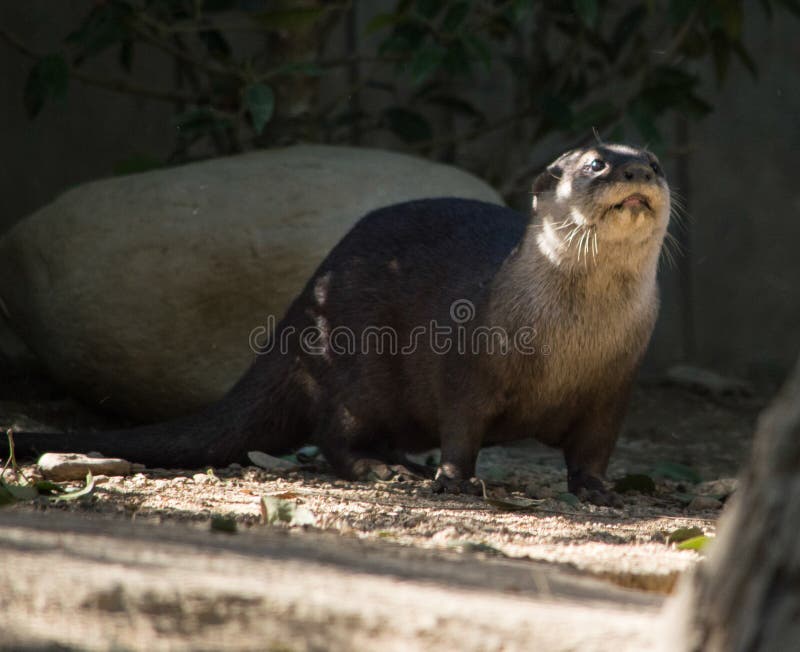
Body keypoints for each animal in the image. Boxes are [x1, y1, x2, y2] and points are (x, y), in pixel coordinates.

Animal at [4, 144, 670, 503]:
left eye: (655, 161)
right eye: (596, 163)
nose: (637, 174)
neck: (568, 340)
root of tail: (303, 310)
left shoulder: (616, 385)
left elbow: (594, 447)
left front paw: (599, 490)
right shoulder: (469, 363)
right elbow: (461, 427)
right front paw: (454, 479)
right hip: (356, 365)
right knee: (333, 434)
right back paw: (385, 470)